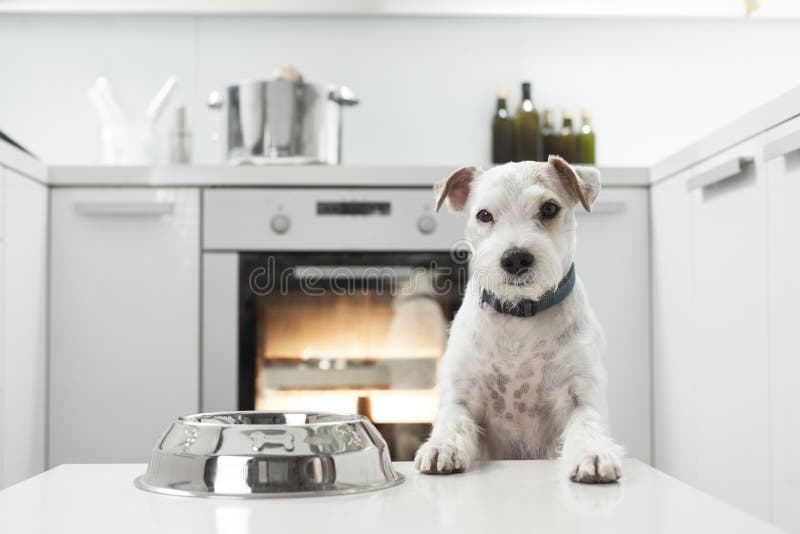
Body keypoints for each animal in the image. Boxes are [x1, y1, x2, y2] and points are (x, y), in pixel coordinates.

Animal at [416, 156, 628, 486]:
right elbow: (453, 421)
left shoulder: (581, 395)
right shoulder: (461, 397)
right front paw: (441, 447)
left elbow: (587, 424)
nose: (515, 258)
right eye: (484, 215)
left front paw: (593, 454)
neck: (520, 314)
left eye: (549, 209)